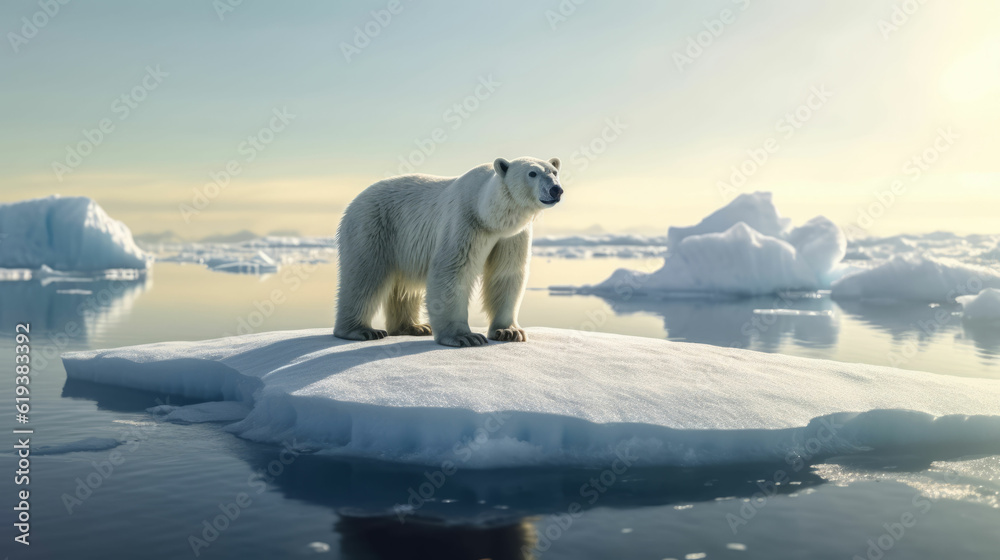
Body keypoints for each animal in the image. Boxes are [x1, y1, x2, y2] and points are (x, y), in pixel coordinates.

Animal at [333, 156, 563, 347]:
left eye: (554, 171)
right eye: (532, 173)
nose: (556, 190)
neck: (488, 215)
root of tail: (355, 200)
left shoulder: (511, 236)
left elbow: (506, 273)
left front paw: (509, 332)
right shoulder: (464, 222)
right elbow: (453, 271)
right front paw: (465, 337)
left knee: (405, 286)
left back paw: (415, 327)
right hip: (373, 225)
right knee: (364, 275)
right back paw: (361, 330)